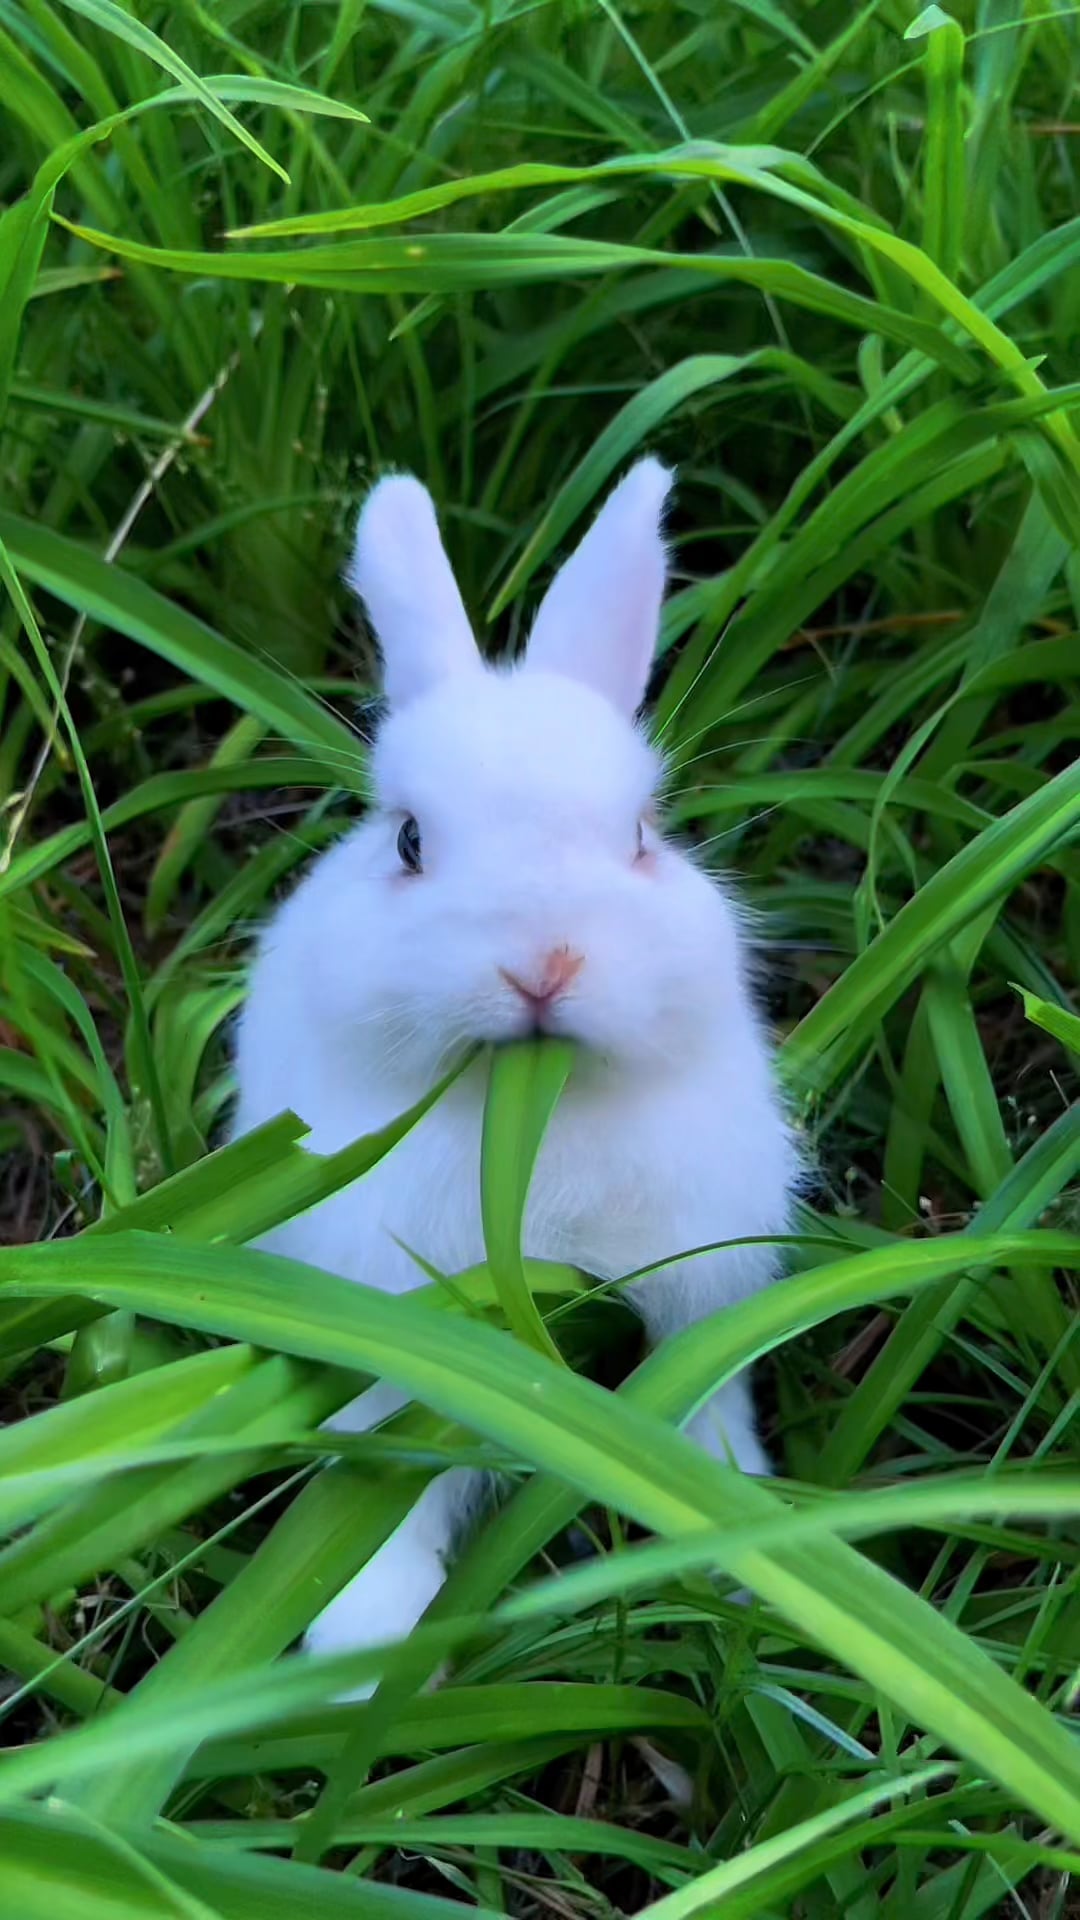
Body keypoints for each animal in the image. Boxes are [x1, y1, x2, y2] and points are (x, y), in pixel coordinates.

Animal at [232, 458, 799, 1677]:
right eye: (408, 842)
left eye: (641, 835)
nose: (543, 962)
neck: (536, 1118)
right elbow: (382, 1488)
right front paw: (366, 1649)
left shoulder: (702, 1273)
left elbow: (707, 1397)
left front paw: (741, 1541)